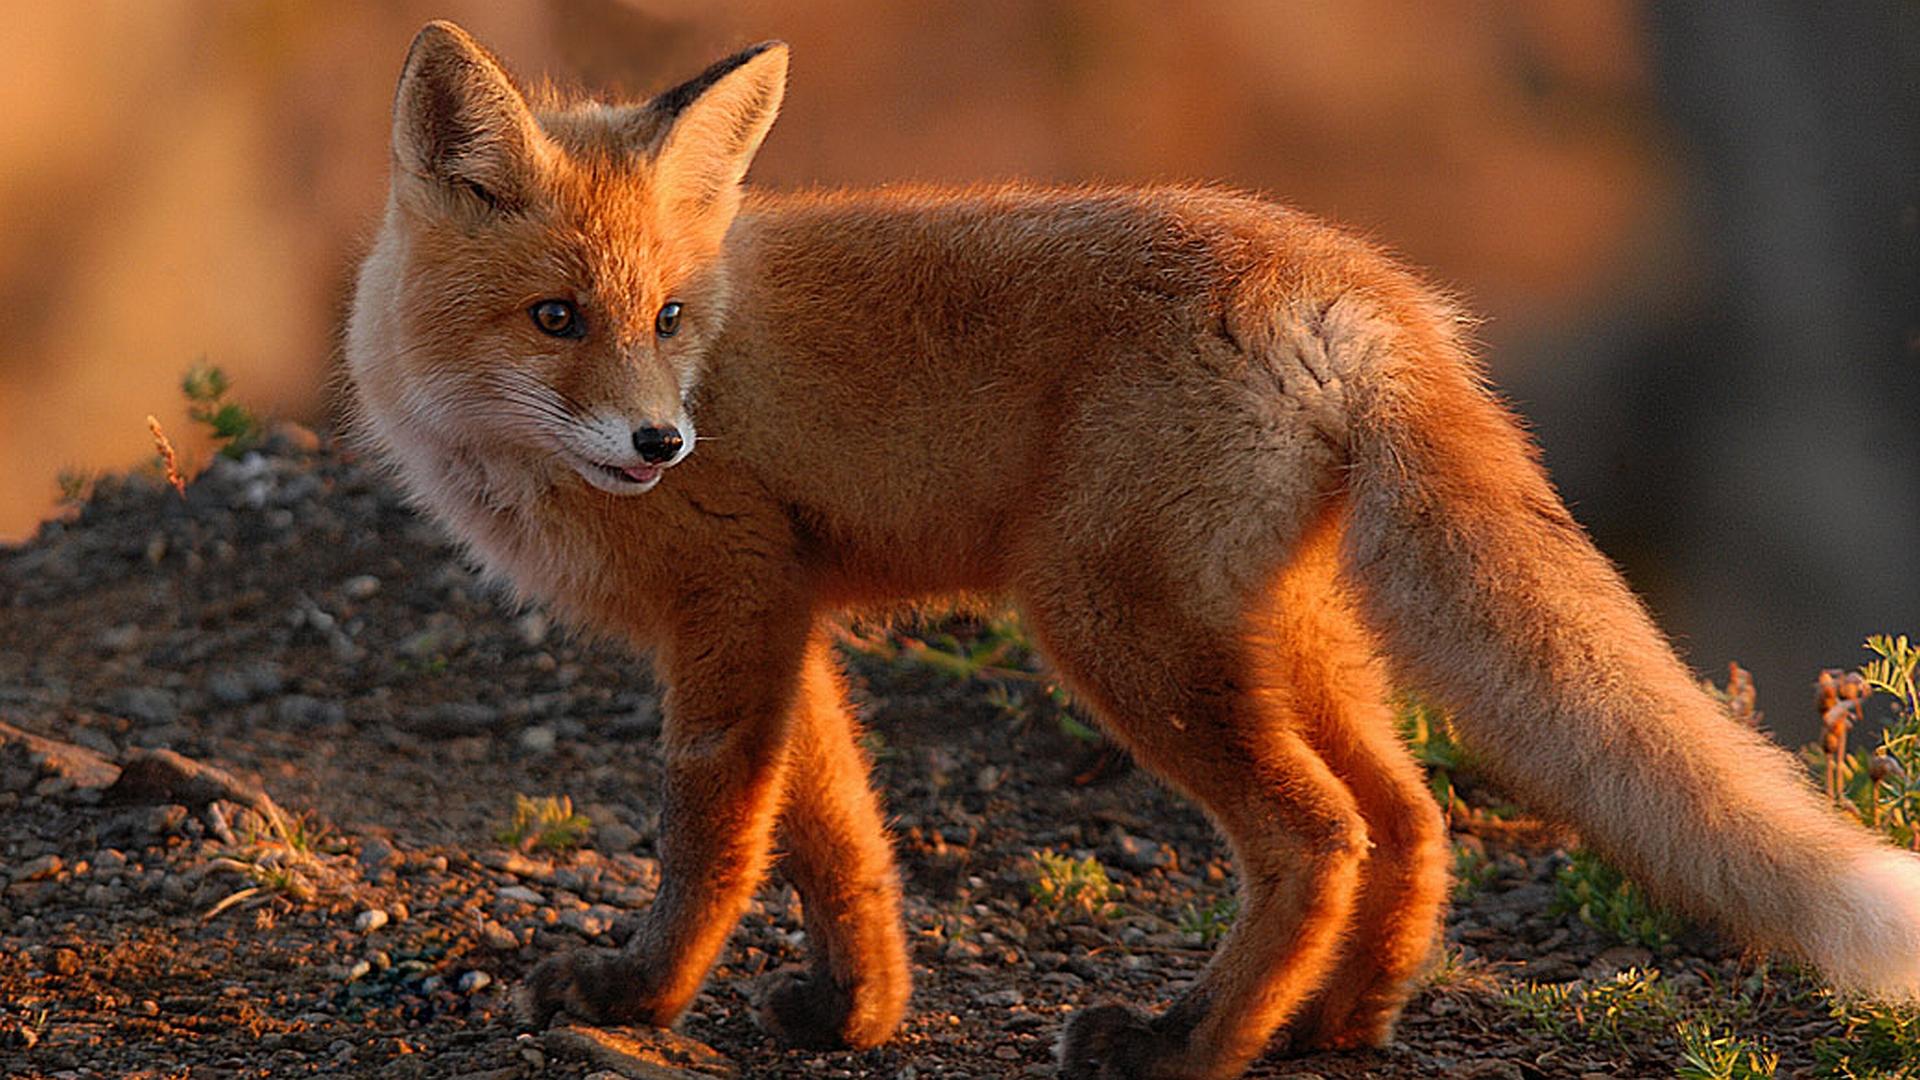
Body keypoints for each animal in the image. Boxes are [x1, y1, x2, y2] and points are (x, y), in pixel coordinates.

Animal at [343, 21, 1920, 1080]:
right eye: (556, 318)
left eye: (669, 318)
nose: (662, 443)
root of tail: (1355, 279)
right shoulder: (790, 612)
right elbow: (838, 837)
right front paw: (856, 1011)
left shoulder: (734, 598)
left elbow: (715, 835)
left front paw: (637, 998)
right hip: (1275, 634)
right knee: (1410, 817)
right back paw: (1336, 1024)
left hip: (1109, 626)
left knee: (1319, 834)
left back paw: (1190, 1043)